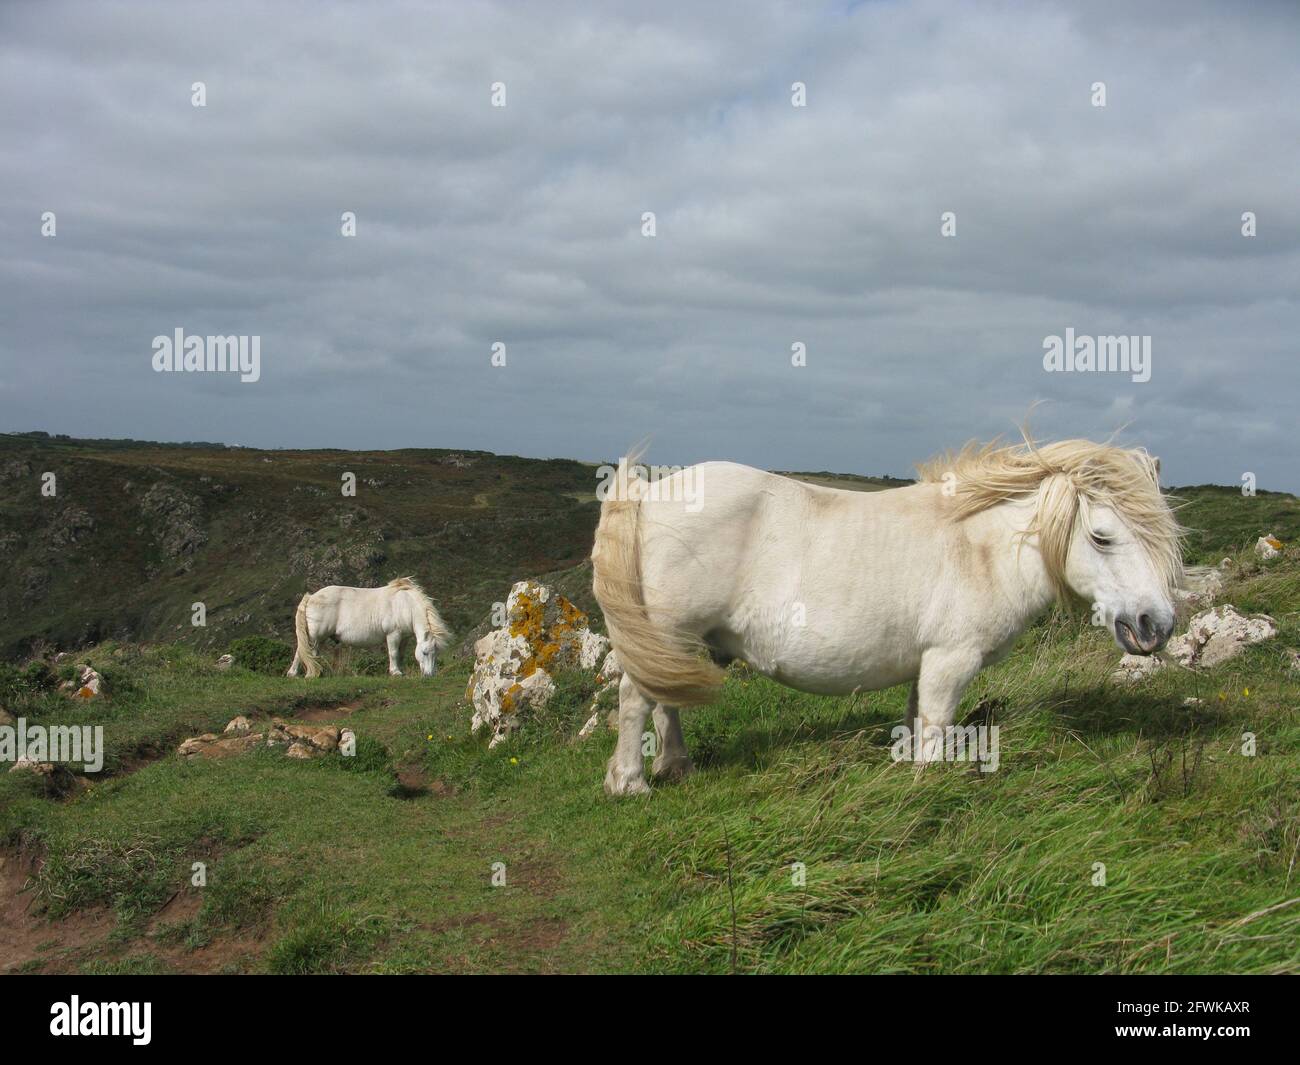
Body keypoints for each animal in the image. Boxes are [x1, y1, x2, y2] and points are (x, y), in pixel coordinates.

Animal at [287, 577, 452, 678]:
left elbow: (401, 654)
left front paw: (401, 670)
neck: (405, 605)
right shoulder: (393, 635)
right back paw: (296, 673)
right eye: (424, 652)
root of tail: (311, 597)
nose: (430, 675)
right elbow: (393, 653)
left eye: (436, 653)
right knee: (302, 652)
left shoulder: (404, 637)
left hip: (319, 639)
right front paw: (395, 672)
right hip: (314, 637)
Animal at [591, 436, 1183, 796]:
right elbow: (937, 728)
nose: (1156, 626)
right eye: (1102, 537)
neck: (982, 546)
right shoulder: (951, 660)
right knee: (637, 700)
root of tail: (650, 491)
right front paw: (927, 786)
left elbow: (918, 719)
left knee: (665, 698)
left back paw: (677, 766)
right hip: (669, 631)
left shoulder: (925, 664)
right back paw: (631, 782)